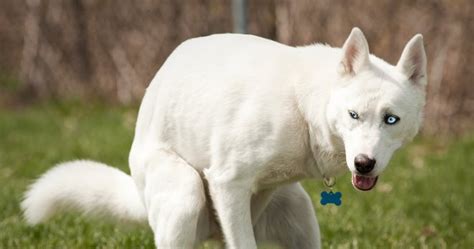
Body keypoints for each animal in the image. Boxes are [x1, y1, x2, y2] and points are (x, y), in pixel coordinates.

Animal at [22, 28, 428, 248]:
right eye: (353, 116)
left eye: (391, 120)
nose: (364, 164)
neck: (303, 104)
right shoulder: (226, 183)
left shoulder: (254, 194)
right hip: (185, 195)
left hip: (298, 214)